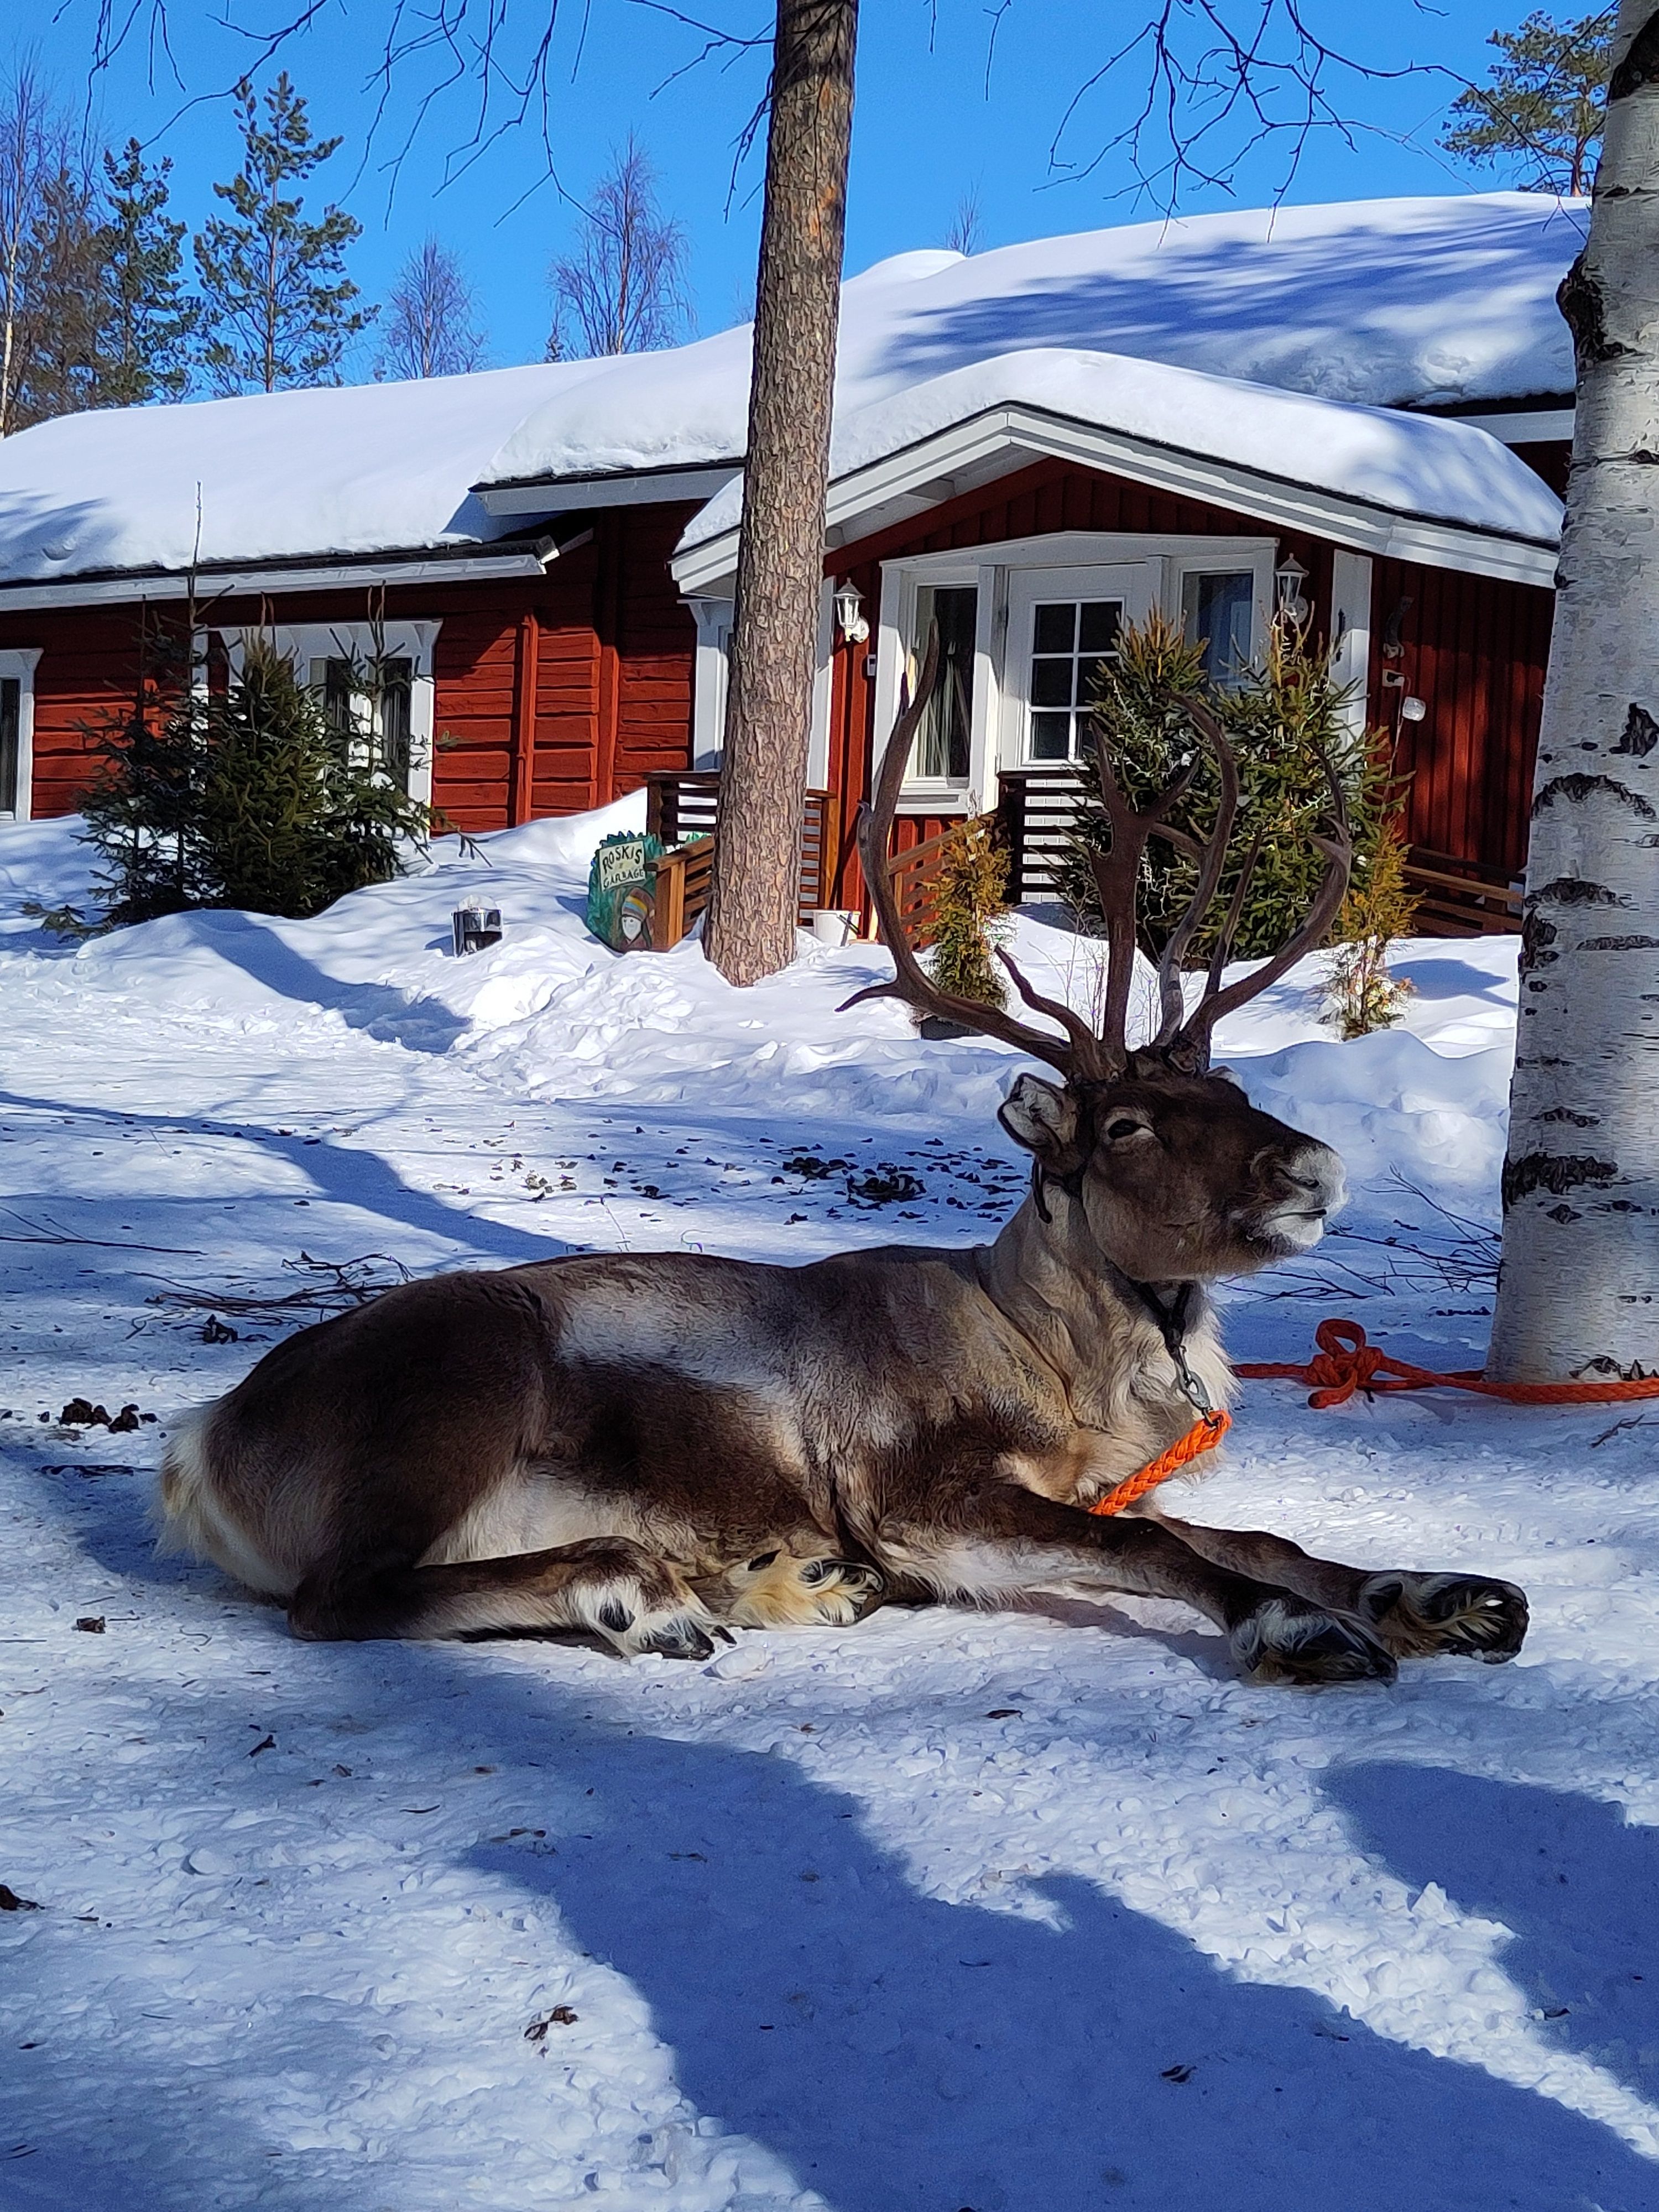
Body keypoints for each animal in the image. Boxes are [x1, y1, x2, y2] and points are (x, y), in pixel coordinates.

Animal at [159, 638, 1528, 1687]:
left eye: (1232, 1087)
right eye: (1127, 1127)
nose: (1316, 1166)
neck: (1060, 1367)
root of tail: (206, 1444)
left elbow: (1257, 1530)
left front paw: (1439, 1592)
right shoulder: (922, 1492)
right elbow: (1175, 1554)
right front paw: (1305, 1627)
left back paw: (783, 1581)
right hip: (456, 1389)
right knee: (344, 1592)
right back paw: (641, 1589)